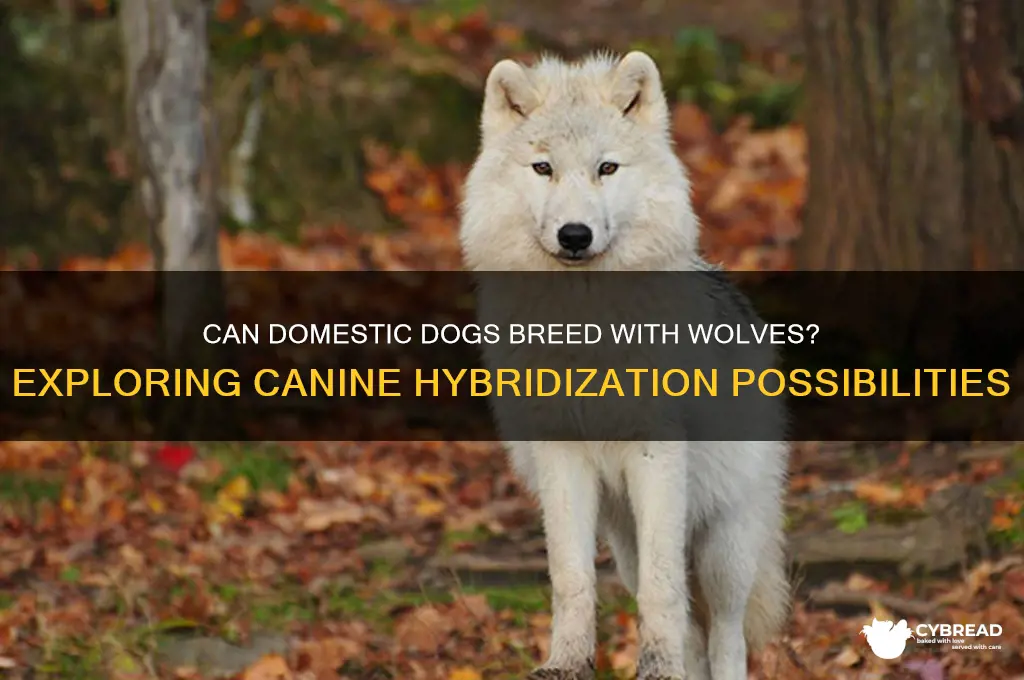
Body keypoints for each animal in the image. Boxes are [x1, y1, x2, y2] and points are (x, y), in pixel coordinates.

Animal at [459, 51, 790, 680]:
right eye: (543, 168)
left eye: (606, 168)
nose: (575, 235)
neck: (586, 325)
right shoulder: (561, 455)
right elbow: (571, 578)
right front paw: (566, 662)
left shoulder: (654, 451)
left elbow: (664, 592)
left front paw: (655, 668)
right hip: (625, 538)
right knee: (690, 629)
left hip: (723, 546)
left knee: (726, 635)